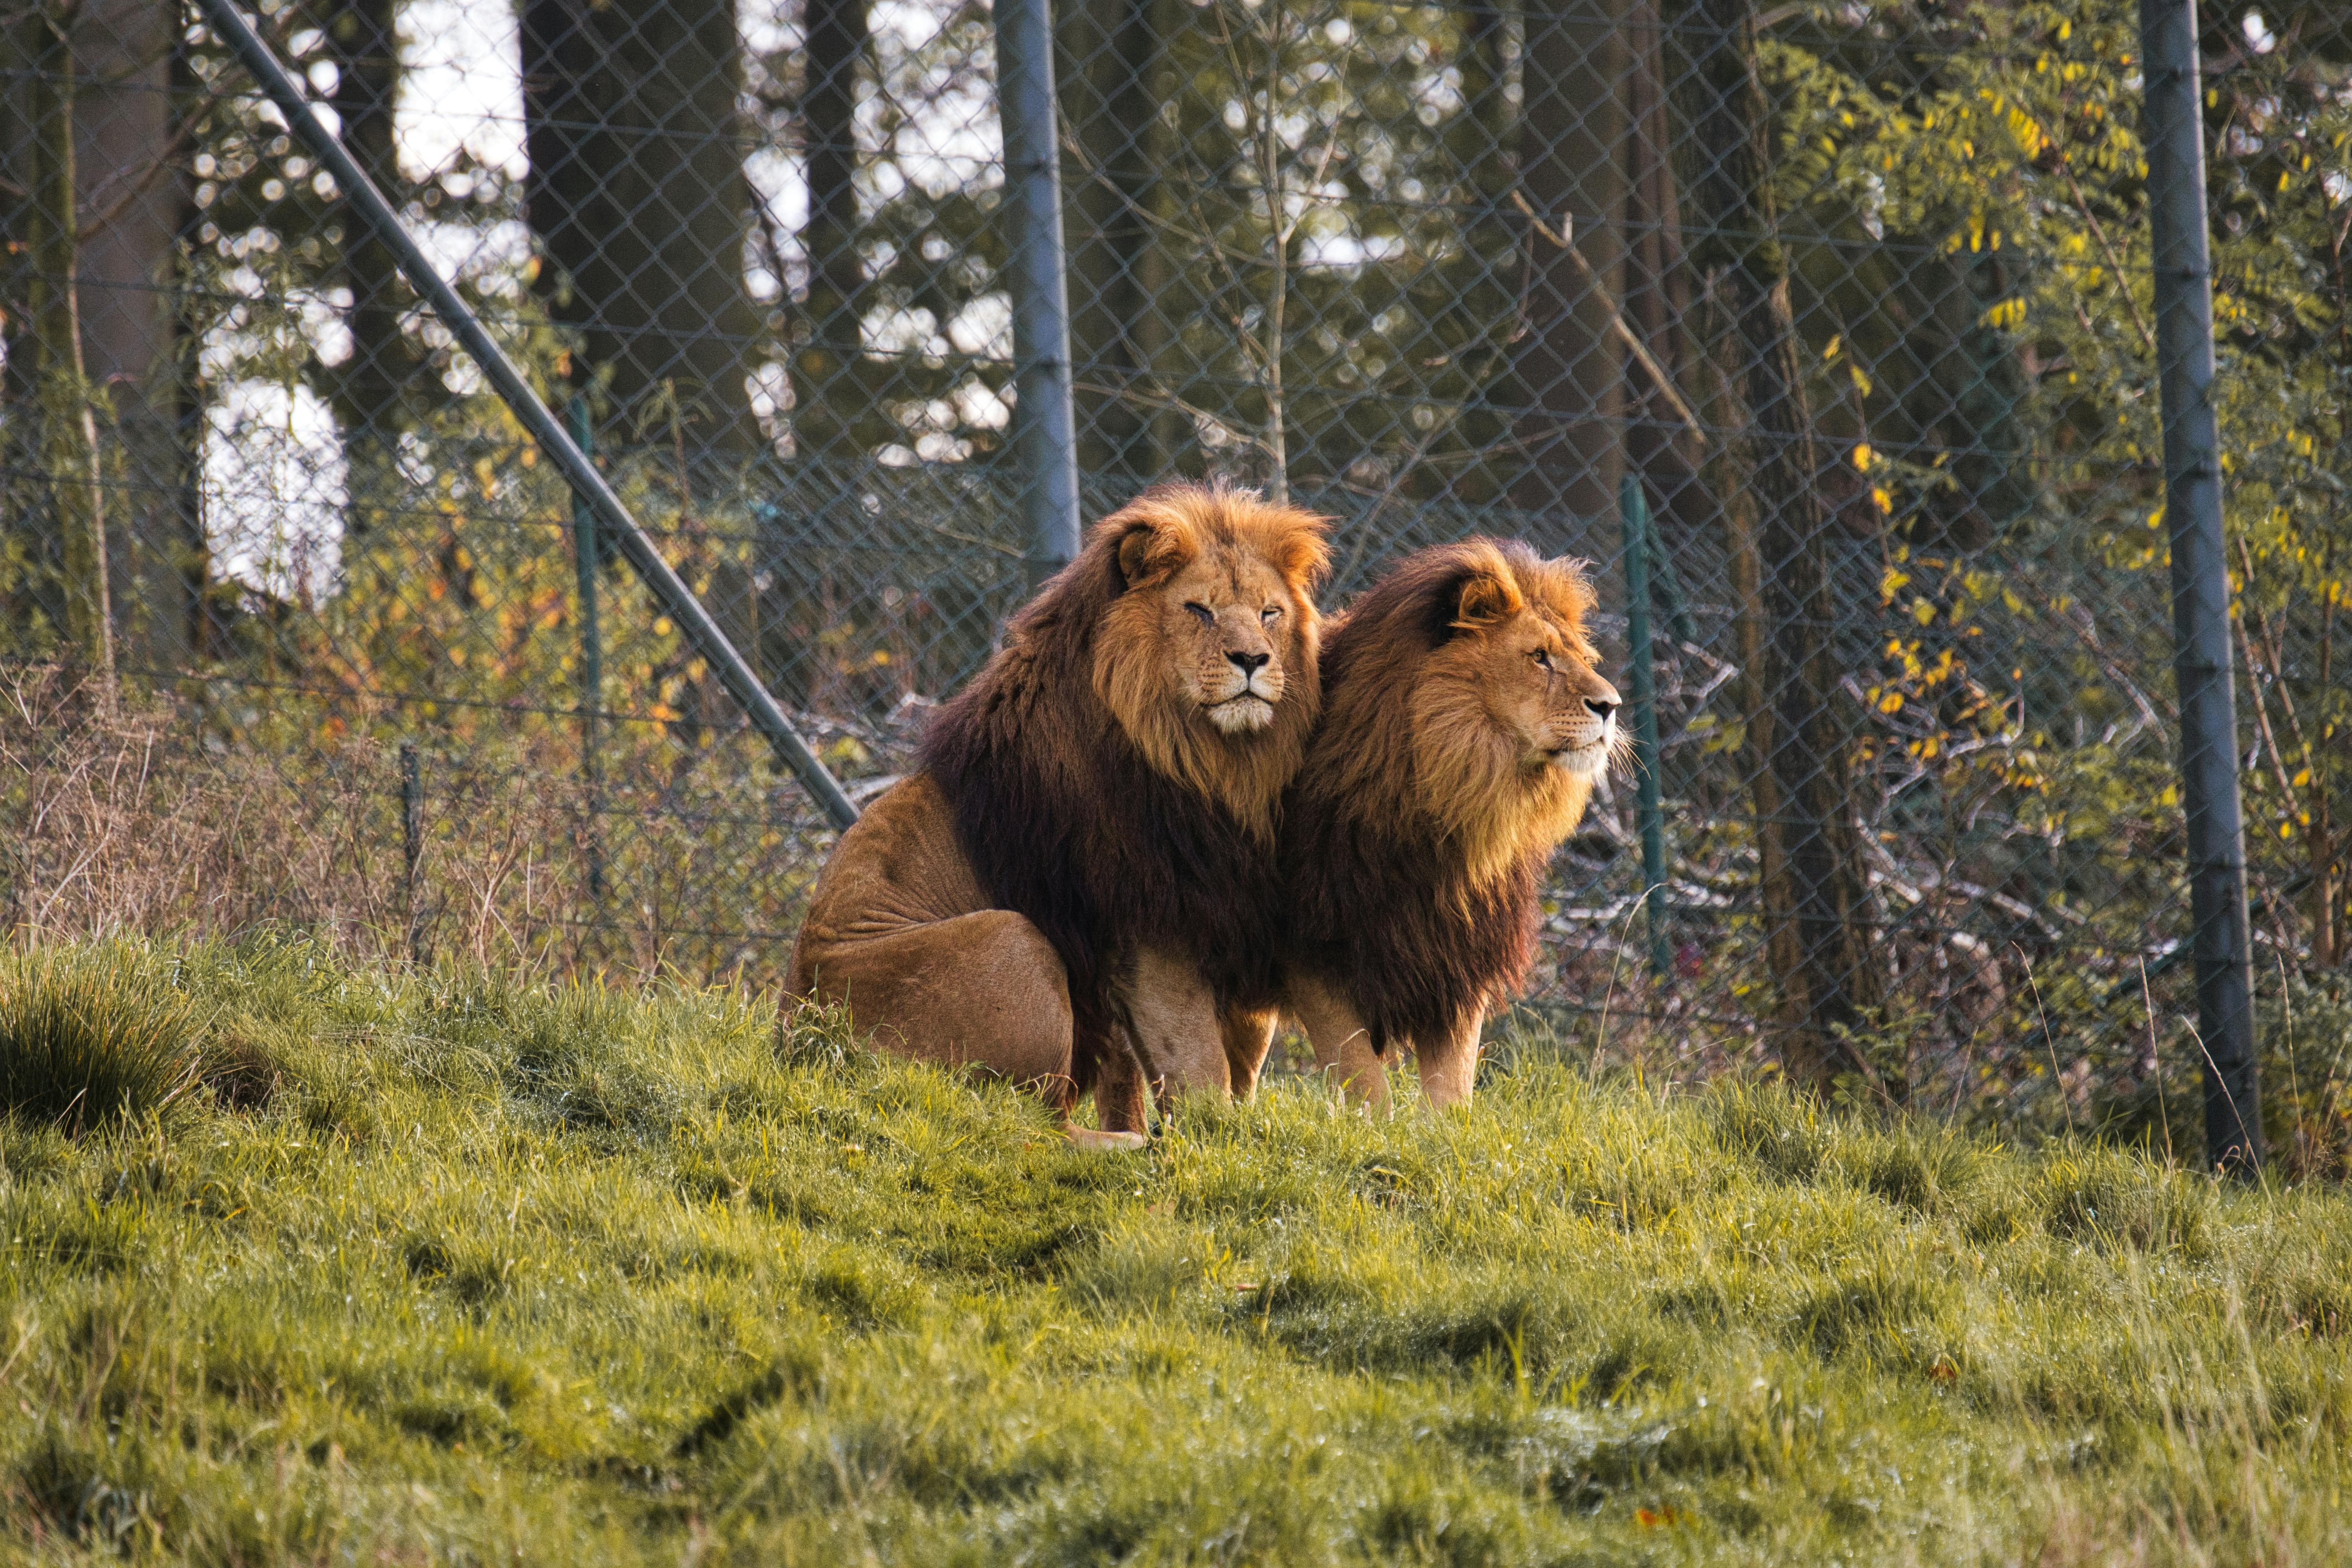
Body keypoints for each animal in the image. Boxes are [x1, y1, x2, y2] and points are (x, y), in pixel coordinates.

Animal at [787, 483, 1330, 1146]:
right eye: (1199, 611)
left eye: (1269, 613)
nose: (1251, 659)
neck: (1217, 762)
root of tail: (795, 1043)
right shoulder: (1151, 922)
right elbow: (1199, 1062)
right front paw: (1216, 1139)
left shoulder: (1227, 913)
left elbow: (1213, 1059)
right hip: (1014, 939)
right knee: (1035, 1122)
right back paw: (1133, 1146)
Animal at [1270, 537, 1622, 1110]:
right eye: (1539, 656)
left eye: (1585, 659)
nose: (1612, 706)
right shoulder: (1313, 952)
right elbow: (1365, 1083)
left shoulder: (1459, 956)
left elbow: (1451, 1093)